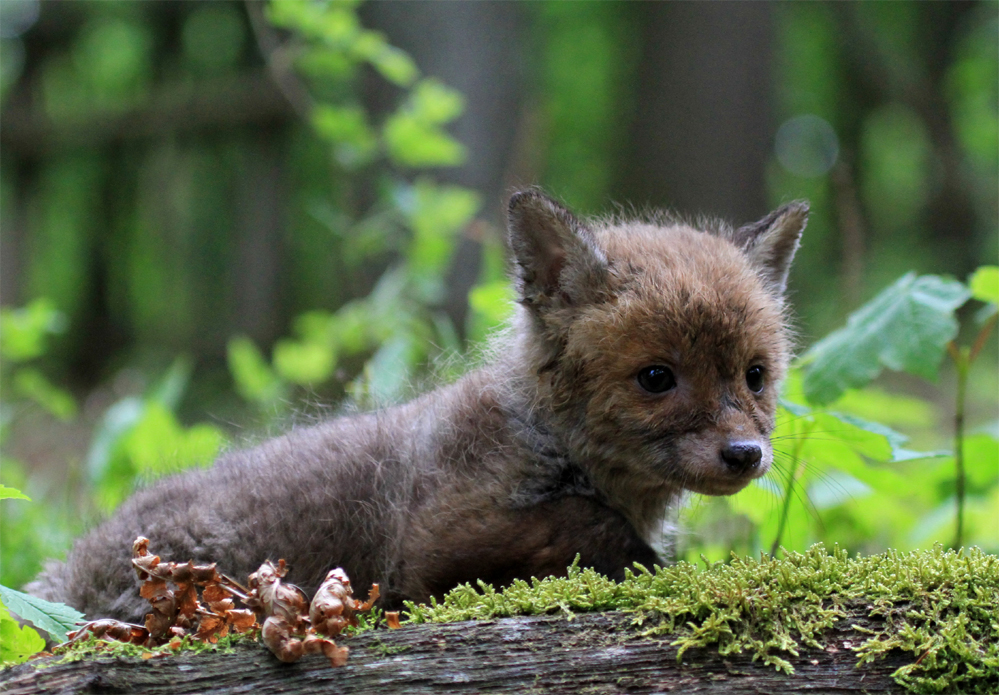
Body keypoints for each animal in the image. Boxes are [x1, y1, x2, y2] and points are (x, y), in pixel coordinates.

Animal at [29, 189, 807, 621]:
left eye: (755, 376)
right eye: (656, 378)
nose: (745, 454)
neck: (548, 439)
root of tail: (57, 573)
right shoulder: (436, 542)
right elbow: (588, 521)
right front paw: (660, 565)